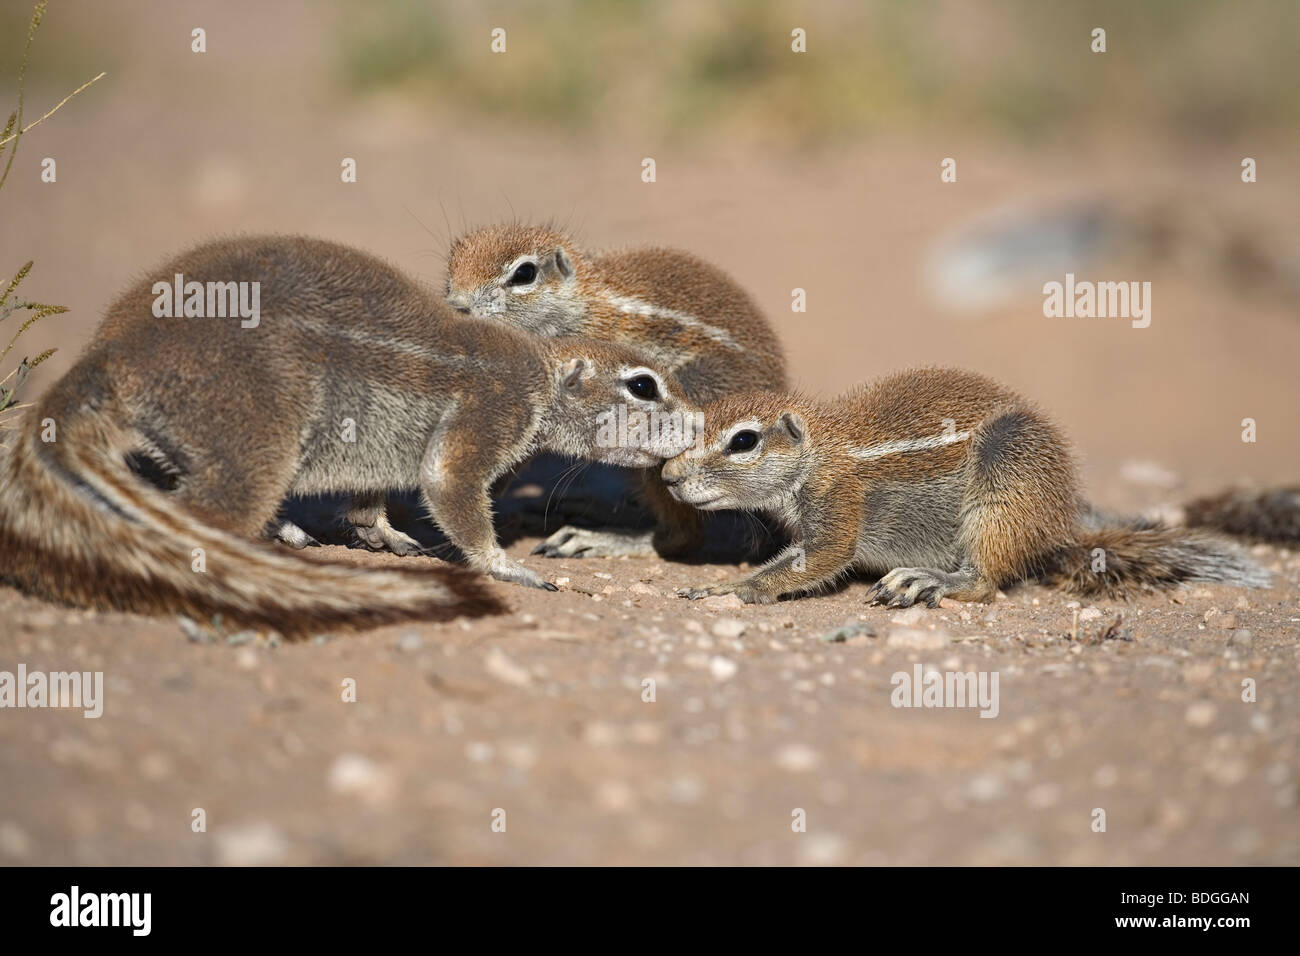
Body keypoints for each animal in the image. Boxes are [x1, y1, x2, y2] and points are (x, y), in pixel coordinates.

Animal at [0, 235, 697, 633]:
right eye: (643, 385)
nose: (697, 428)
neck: (541, 371)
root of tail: (113, 352)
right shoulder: (490, 410)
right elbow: (451, 488)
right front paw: (507, 565)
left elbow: (372, 503)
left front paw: (384, 534)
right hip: (252, 438)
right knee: (195, 521)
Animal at [443, 223, 788, 559]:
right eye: (451, 269)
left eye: (524, 273)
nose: (456, 307)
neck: (584, 307)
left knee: (684, 537)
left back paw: (601, 538)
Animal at [662, 367, 1269, 606]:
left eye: (743, 441)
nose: (668, 476)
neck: (822, 451)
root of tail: (1058, 525)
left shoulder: (840, 505)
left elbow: (818, 558)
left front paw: (729, 588)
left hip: (1003, 485)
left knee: (985, 583)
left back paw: (929, 580)